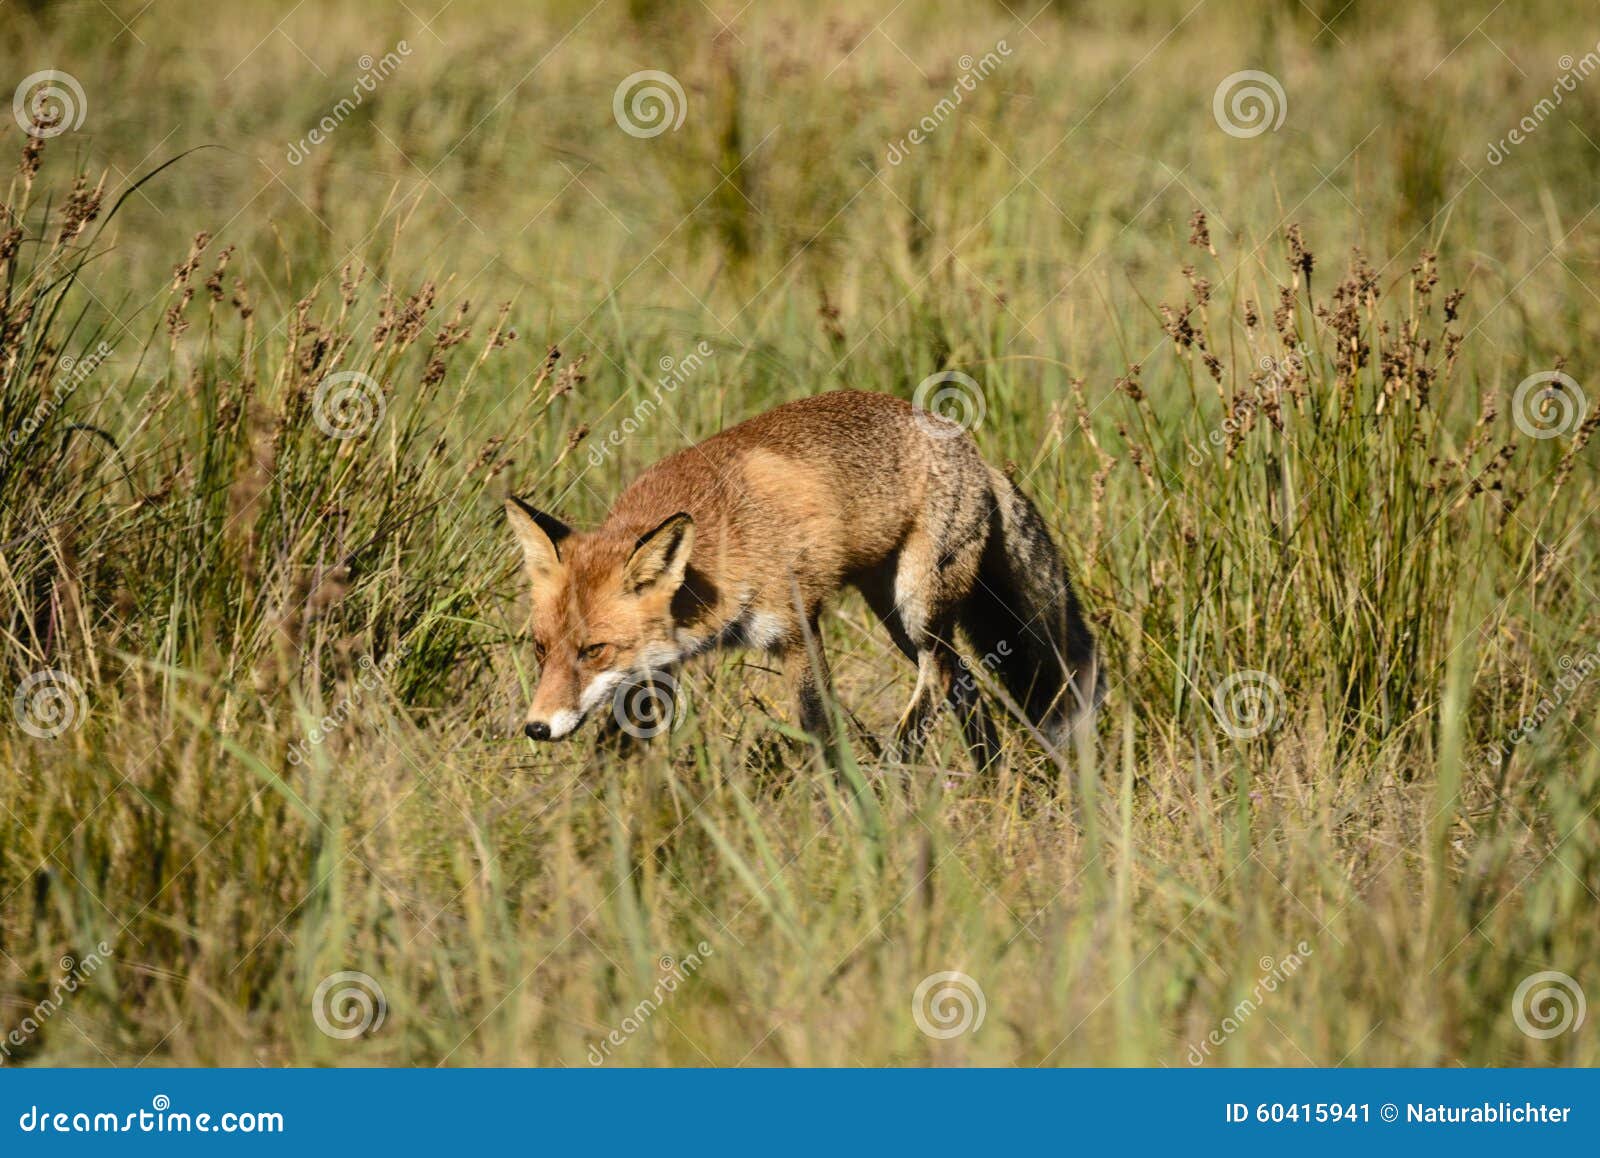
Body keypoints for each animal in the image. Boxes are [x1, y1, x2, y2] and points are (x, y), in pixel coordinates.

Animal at [504, 389, 1098, 767]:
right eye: (540, 649)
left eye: (594, 650)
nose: (536, 727)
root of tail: (974, 453)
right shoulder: (657, 667)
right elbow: (611, 750)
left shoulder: (796, 630)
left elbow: (821, 735)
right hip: (897, 617)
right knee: (965, 684)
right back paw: (990, 777)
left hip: (918, 608)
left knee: (943, 677)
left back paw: (900, 772)